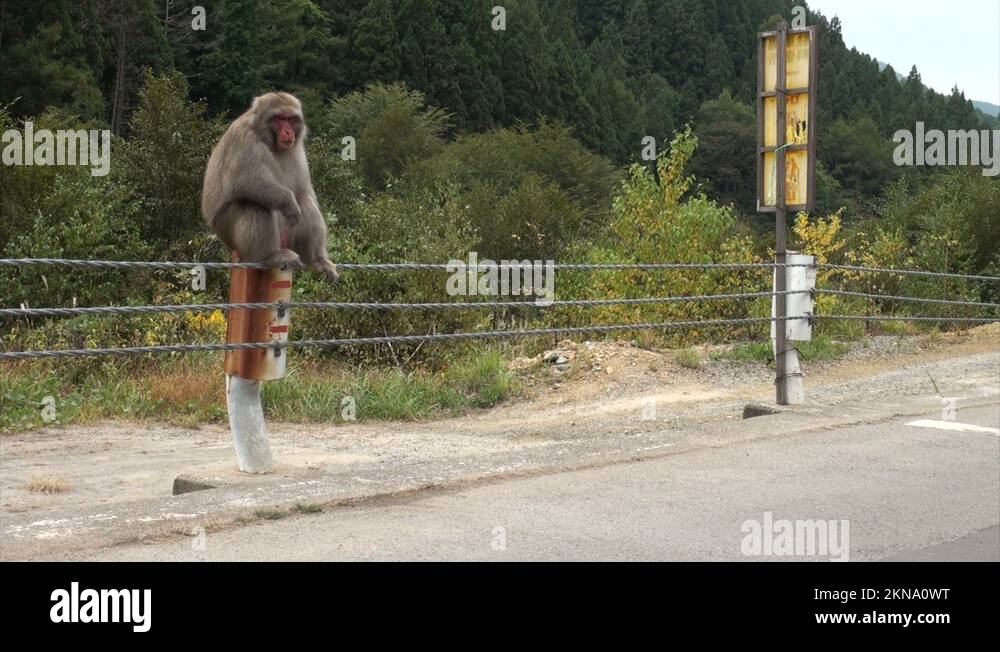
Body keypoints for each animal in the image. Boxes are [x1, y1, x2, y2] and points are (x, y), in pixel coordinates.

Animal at [202, 91, 339, 283]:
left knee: (305, 201)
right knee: (254, 205)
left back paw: (316, 260)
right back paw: (270, 256)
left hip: (289, 238)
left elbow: (303, 190)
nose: (288, 131)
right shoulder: (244, 138)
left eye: (291, 119)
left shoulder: (298, 150)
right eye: (279, 118)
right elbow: (244, 181)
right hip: (228, 232)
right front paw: (287, 201)